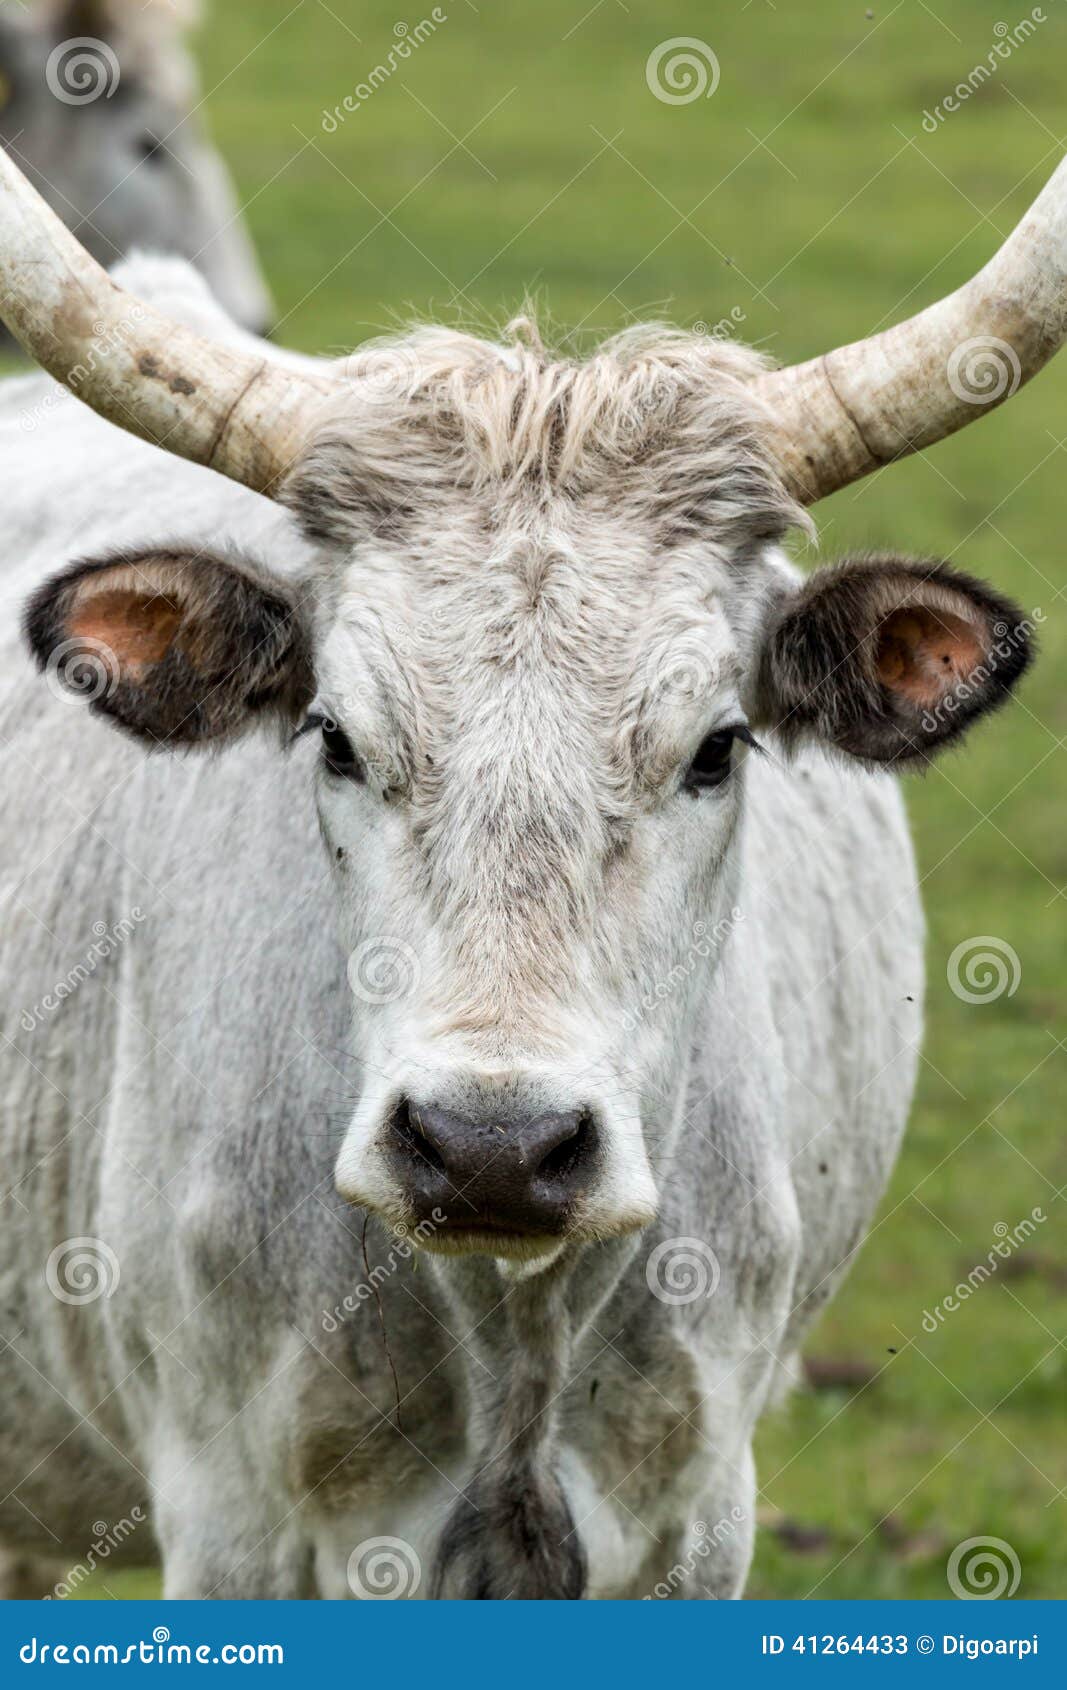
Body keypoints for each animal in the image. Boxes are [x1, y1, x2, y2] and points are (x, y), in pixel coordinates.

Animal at [0, 142, 1056, 1599]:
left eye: (717, 747)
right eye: (334, 735)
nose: (489, 1148)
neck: (513, 1324)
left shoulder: (695, 1516)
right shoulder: (232, 1516)